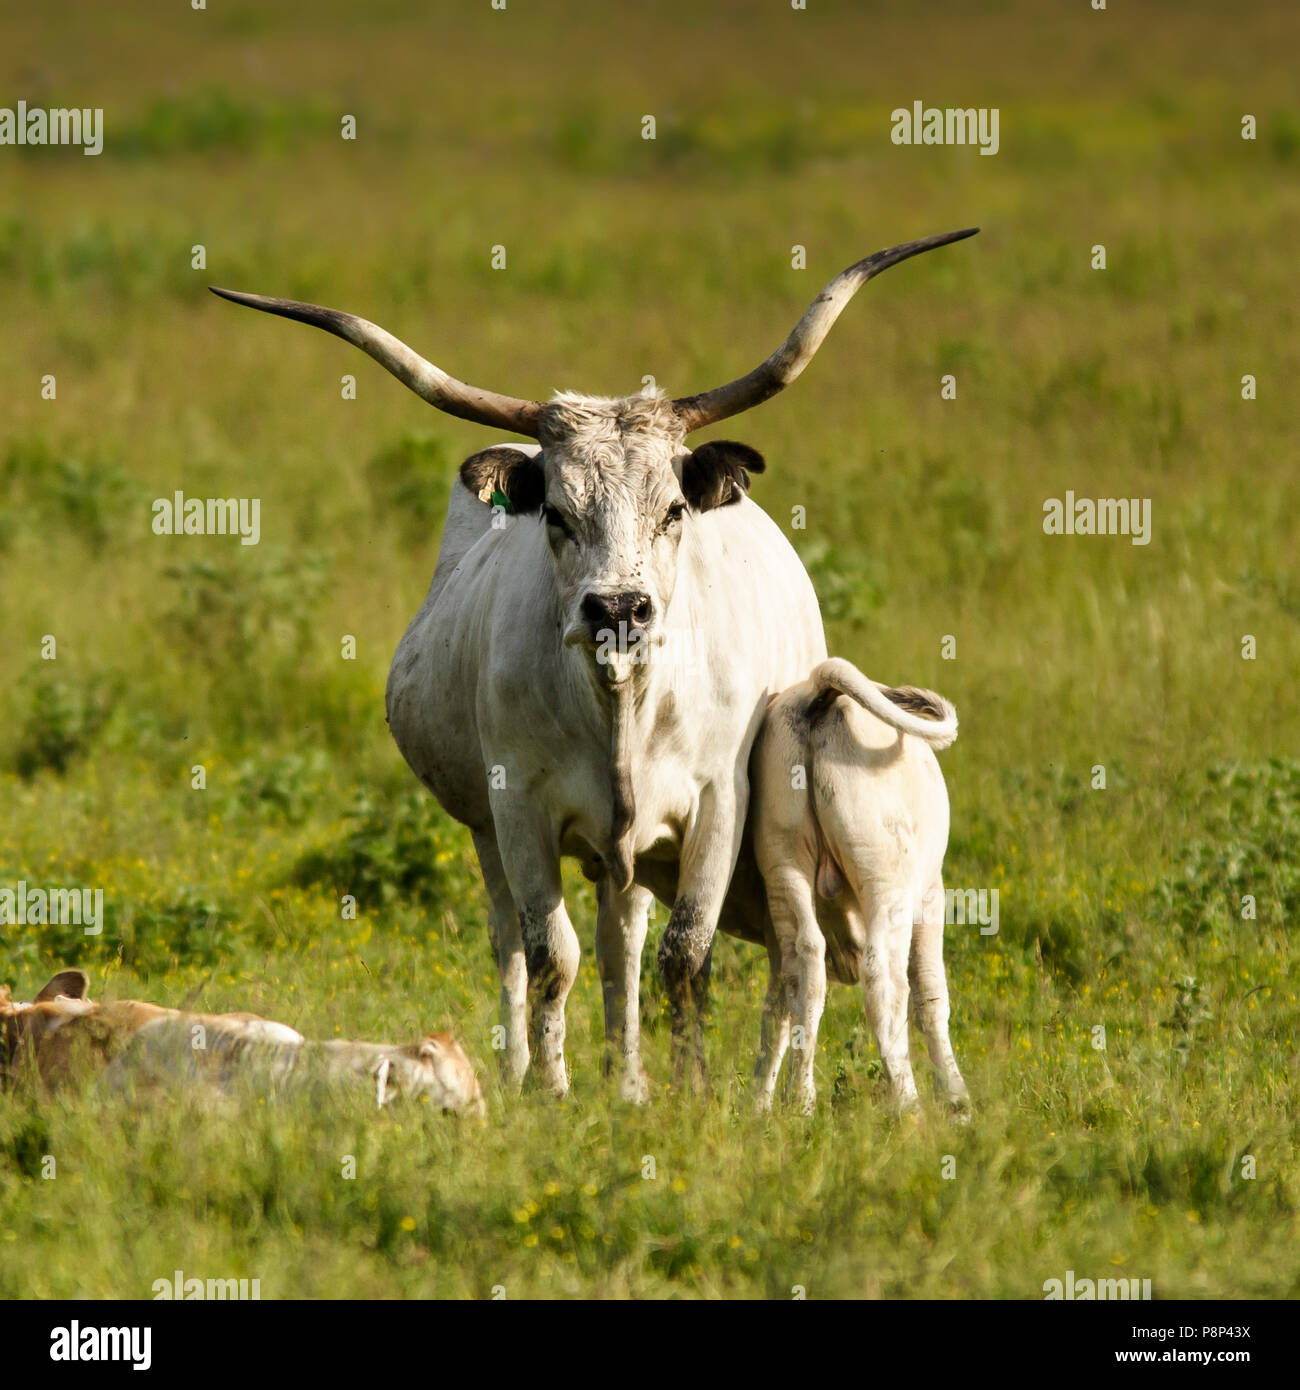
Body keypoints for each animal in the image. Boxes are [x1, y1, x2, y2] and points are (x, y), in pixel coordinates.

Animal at [212, 227, 977, 1099]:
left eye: (673, 509)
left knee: (626, 943)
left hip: (637, 843)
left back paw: (632, 1078)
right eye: (555, 511)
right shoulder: (515, 807)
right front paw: (550, 1089)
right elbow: (551, 955)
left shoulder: (719, 802)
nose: (618, 610)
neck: (620, 705)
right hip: (493, 830)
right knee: (514, 942)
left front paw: (689, 1091)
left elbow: (684, 955)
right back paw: (534, 1068)